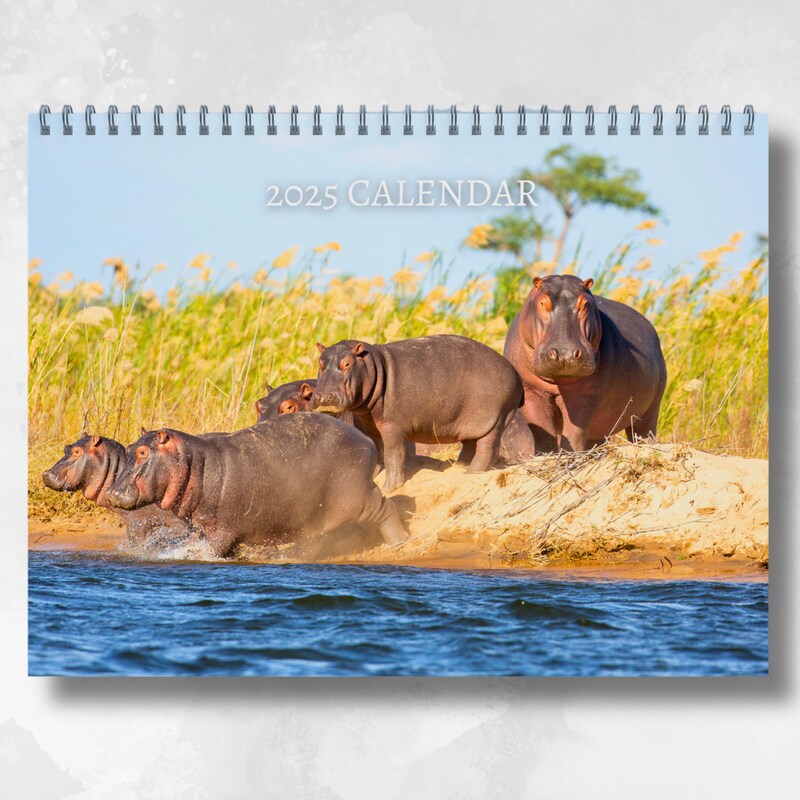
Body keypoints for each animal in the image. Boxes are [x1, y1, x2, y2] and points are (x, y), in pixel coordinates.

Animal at [106, 413, 407, 558]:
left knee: (385, 507)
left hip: (356, 499)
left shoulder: (223, 530)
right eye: (129, 448)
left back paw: (399, 542)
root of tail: (366, 440)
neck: (195, 462)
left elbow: (210, 550)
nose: (111, 491)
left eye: (143, 452)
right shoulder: (201, 526)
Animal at [312, 334, 524, 492]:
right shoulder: (369, 427)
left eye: (347, 364)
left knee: (487, 449)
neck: (372, 365)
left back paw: (470, 473)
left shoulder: (392, 428)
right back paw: (456, 469)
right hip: (470, 423)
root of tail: (516, 374)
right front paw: (373, 479)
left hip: (495, 421)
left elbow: (393, 455)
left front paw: (389, 488)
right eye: (320, 363)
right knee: (470, 445)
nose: (323, 397)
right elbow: (375, 453)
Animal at [502, 274, 667, 457]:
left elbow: (574, 433)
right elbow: (542, 432)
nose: (565, 353)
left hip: (650, 411)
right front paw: (545, 456)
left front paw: (570, 455)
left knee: (643, 432)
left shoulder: (585, 398)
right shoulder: (531, 392)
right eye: (542, 302)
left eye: (585, 303)